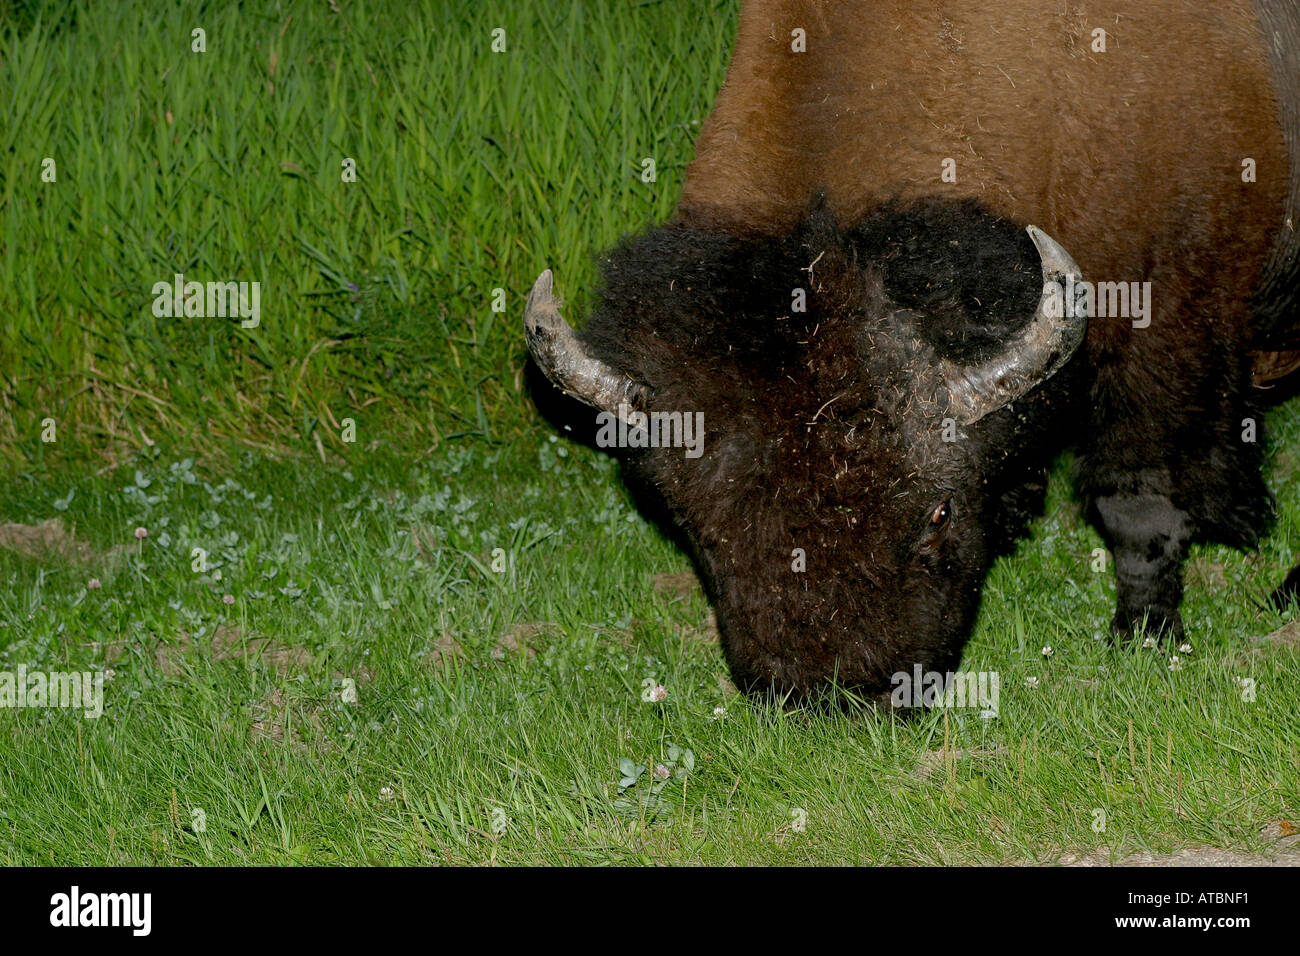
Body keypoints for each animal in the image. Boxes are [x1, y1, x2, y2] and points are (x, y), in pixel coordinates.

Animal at [524, 0, 1300, 704]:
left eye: (939, 513)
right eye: (698, 526)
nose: (837, 693)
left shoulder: (1164, 325)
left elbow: (1136, 496)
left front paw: (1143, 632)